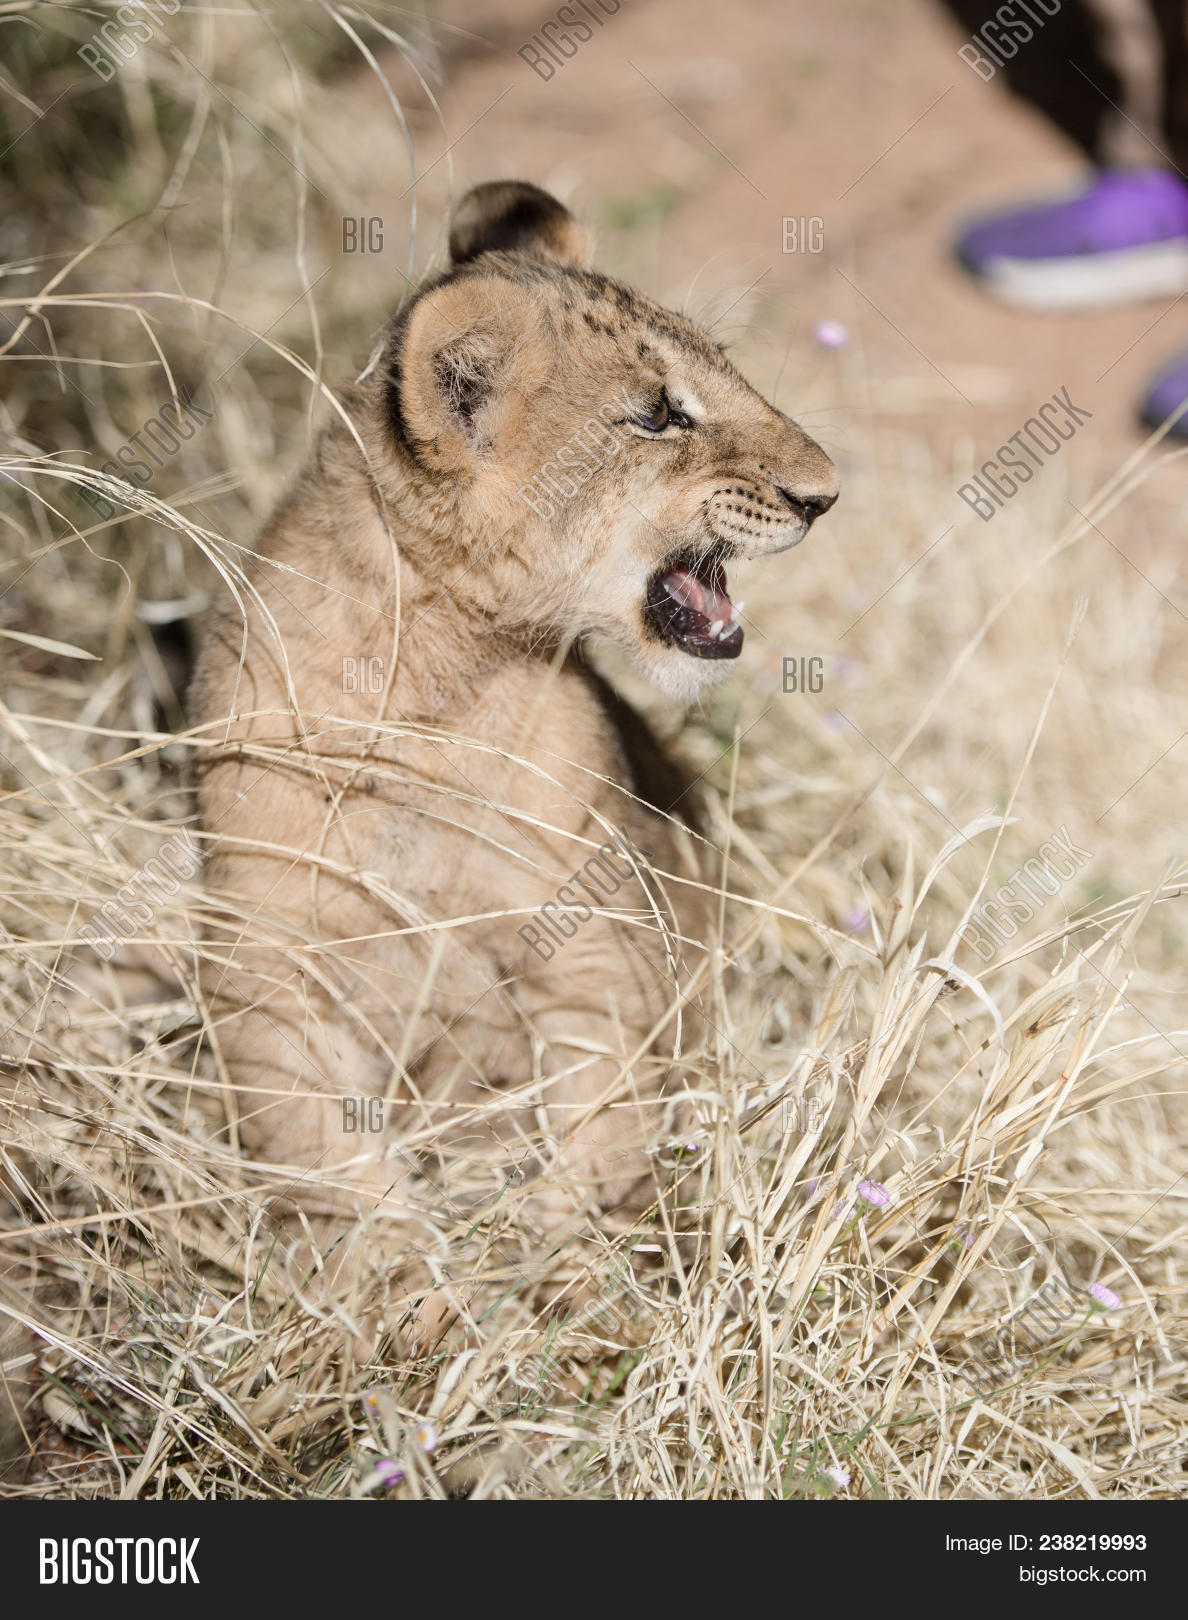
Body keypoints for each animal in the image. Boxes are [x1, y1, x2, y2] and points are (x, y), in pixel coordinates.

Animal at [191, 180, 838, 1265]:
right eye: (659, 414)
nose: (826, 495)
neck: (433, 692)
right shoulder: (266, 968)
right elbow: (327, 1163)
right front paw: (411, 1290)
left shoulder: (592, 932)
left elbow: (600, 1119)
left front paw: (563, 1261)